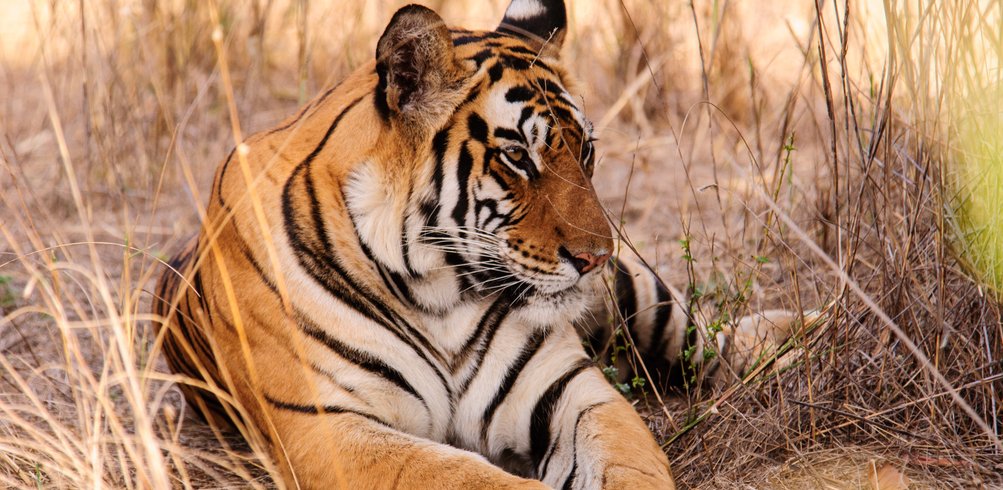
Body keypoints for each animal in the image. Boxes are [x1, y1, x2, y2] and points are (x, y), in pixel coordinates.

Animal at [152, 1, 813, 488]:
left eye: (586, 150)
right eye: (517, 156)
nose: (596, 257)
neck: (433, 289)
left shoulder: (569, 389)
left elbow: (629, 464)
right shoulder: (329, 428)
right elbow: (473, 478)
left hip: (640, 296)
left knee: (703, 339)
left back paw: (799, 335)